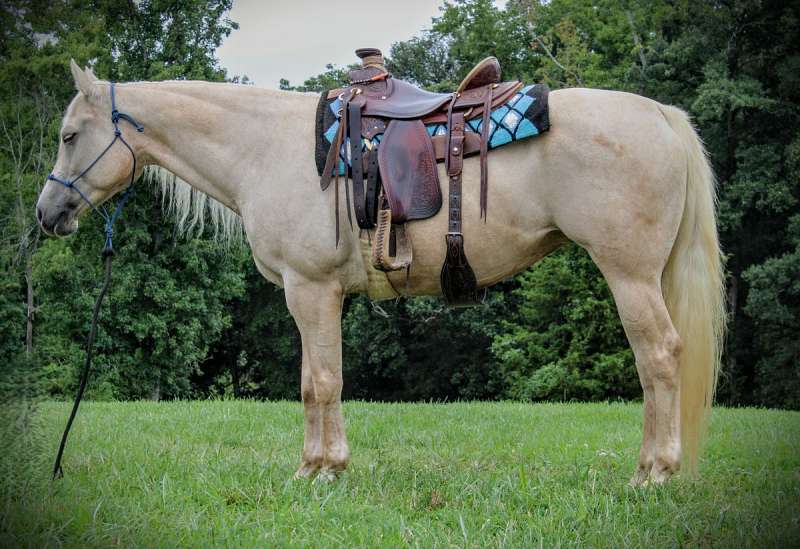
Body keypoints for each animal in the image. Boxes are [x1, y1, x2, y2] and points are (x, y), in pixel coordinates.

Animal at [36, 60, 725, 485]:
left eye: (69, 135)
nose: (47, 213)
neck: (268, 148)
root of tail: (659, 115)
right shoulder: (314, 296)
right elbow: (316, 382)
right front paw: (319, 465)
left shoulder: (310, 290)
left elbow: (321, 382)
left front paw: (320, 469)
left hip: (629, 275)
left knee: (660, 358)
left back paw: (655, 473)